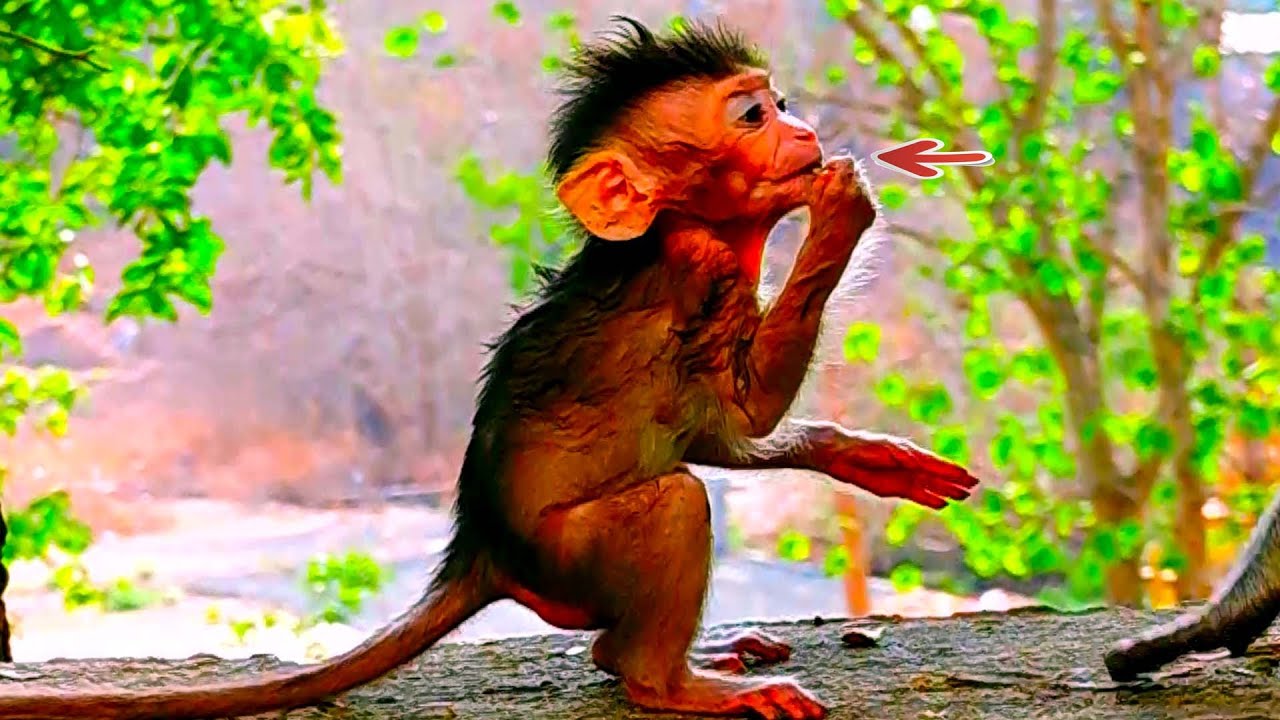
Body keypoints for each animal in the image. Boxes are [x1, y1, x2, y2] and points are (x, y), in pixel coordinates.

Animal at [0, 17, 978, 720]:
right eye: (752, 116)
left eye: (776, 102)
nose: (804, 129)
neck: (679, 230)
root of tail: (481, 553)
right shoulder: (699, 275)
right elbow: (739, 419)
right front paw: (843, 205)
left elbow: (724, 434)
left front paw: (868, 458)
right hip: (565, 561)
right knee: (671, 504)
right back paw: (669, 683)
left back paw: (664, 658)